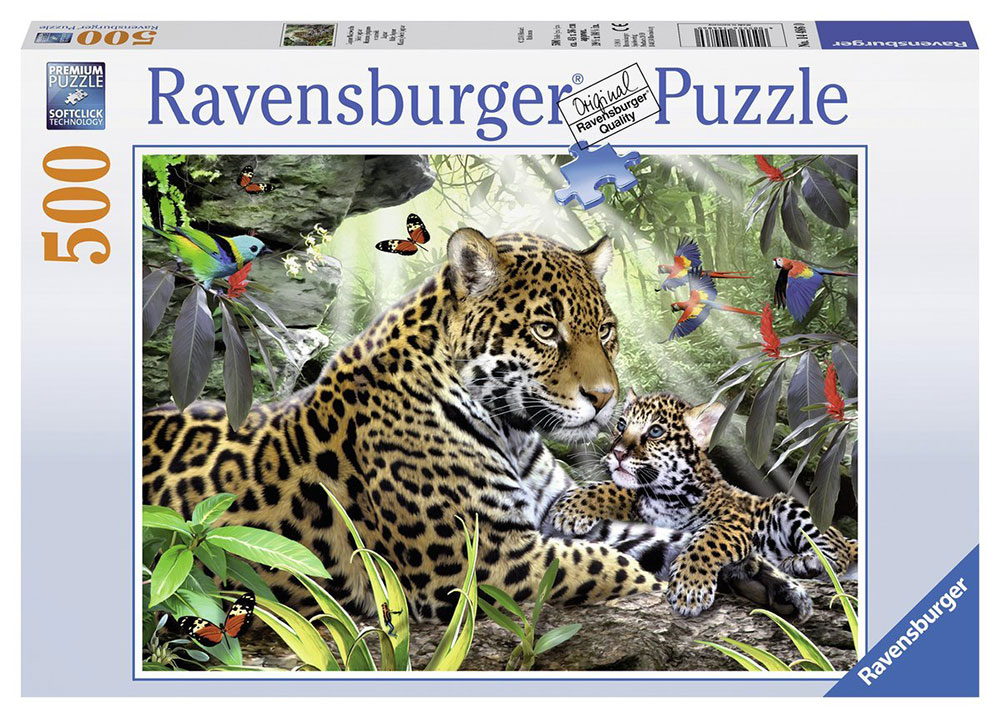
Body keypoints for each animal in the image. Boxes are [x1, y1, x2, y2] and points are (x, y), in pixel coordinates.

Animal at [143, 228, 803, 623]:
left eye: (606, 331)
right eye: (545, 330)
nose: (606, 399)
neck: (513, 428)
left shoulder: (549, 515)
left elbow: (651, 538)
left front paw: (766, 579)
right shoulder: (482, 559)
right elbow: (611, 564)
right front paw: (671, 585)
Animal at [549, 389, 857, 618]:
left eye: (656, 431)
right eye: (621, 425)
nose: (618, 452)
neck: (664, 496)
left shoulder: (734, 517)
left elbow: (708, 539)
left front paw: (690, 588)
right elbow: (618, 488)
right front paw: (572, 507)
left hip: (787, 506)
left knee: (838, 554)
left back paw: (805, 563)